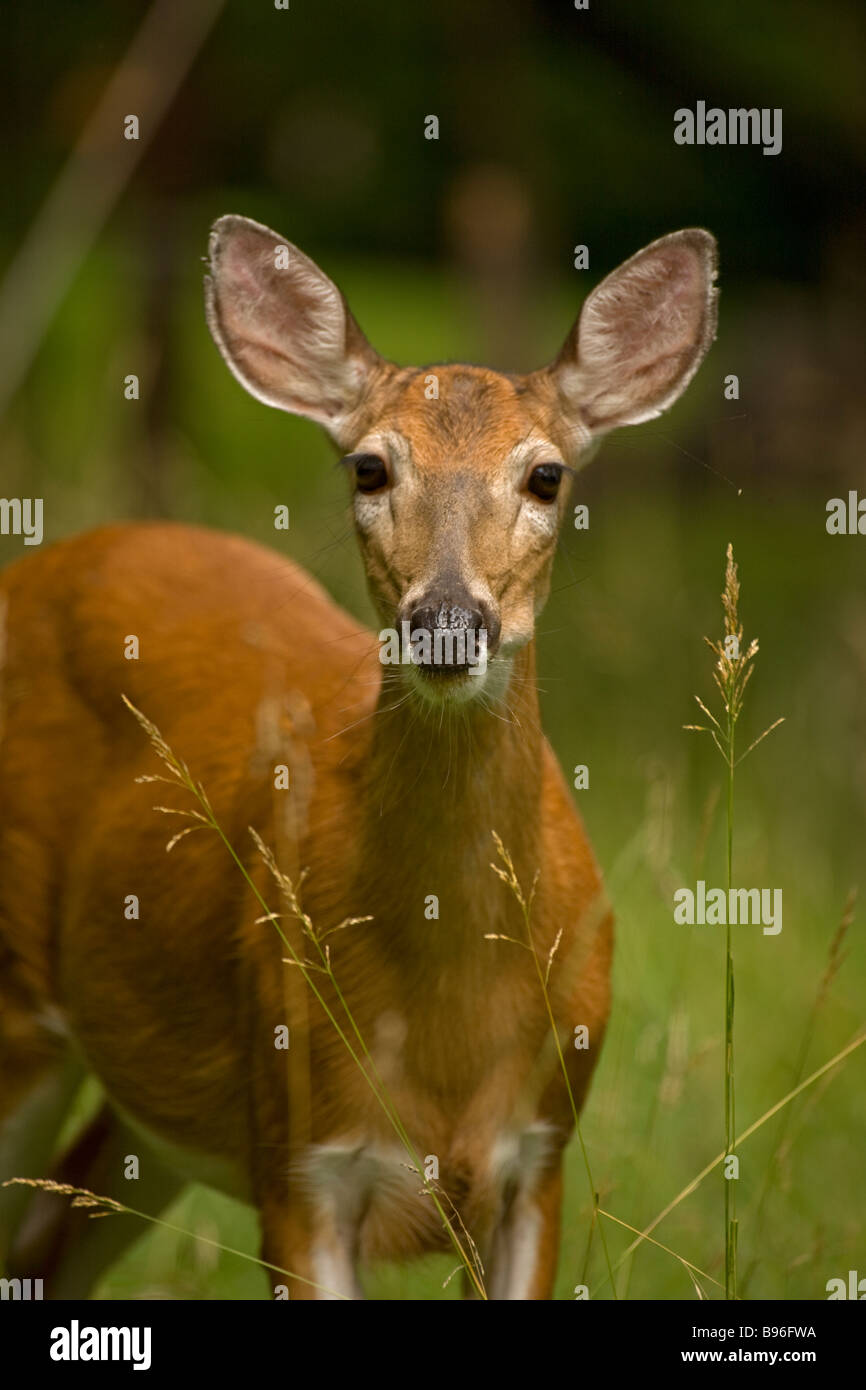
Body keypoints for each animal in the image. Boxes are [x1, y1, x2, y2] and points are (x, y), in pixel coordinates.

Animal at [0, 217, 717, 1299]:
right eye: (369, 469)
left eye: (546, 475)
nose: (447, 622)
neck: (450, 1015)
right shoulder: (302, 1156)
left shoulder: (539, 1156)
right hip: (17, 1004)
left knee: (47, 1243)